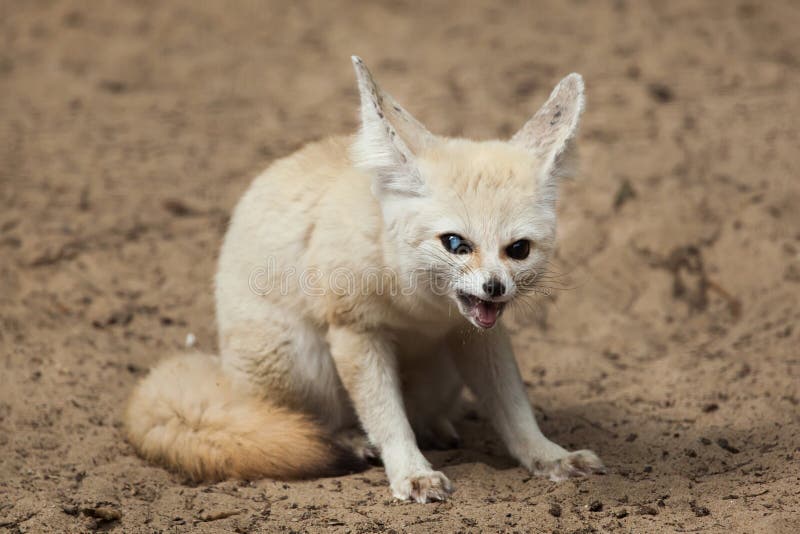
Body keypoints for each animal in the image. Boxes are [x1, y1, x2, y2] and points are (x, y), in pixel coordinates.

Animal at [124, 56, 604, 503]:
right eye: (455, 243)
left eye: (518, 249)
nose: (495, 288)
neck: (420, 308)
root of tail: (223, 372)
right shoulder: (354, 330)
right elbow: (387, 417)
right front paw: (411, 472)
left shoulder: (475, 334)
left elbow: (514, 408)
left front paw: (548, 456)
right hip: (300, 358)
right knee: (303, 421)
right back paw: (349, 439)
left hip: (441, 374)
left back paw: (436, 427)